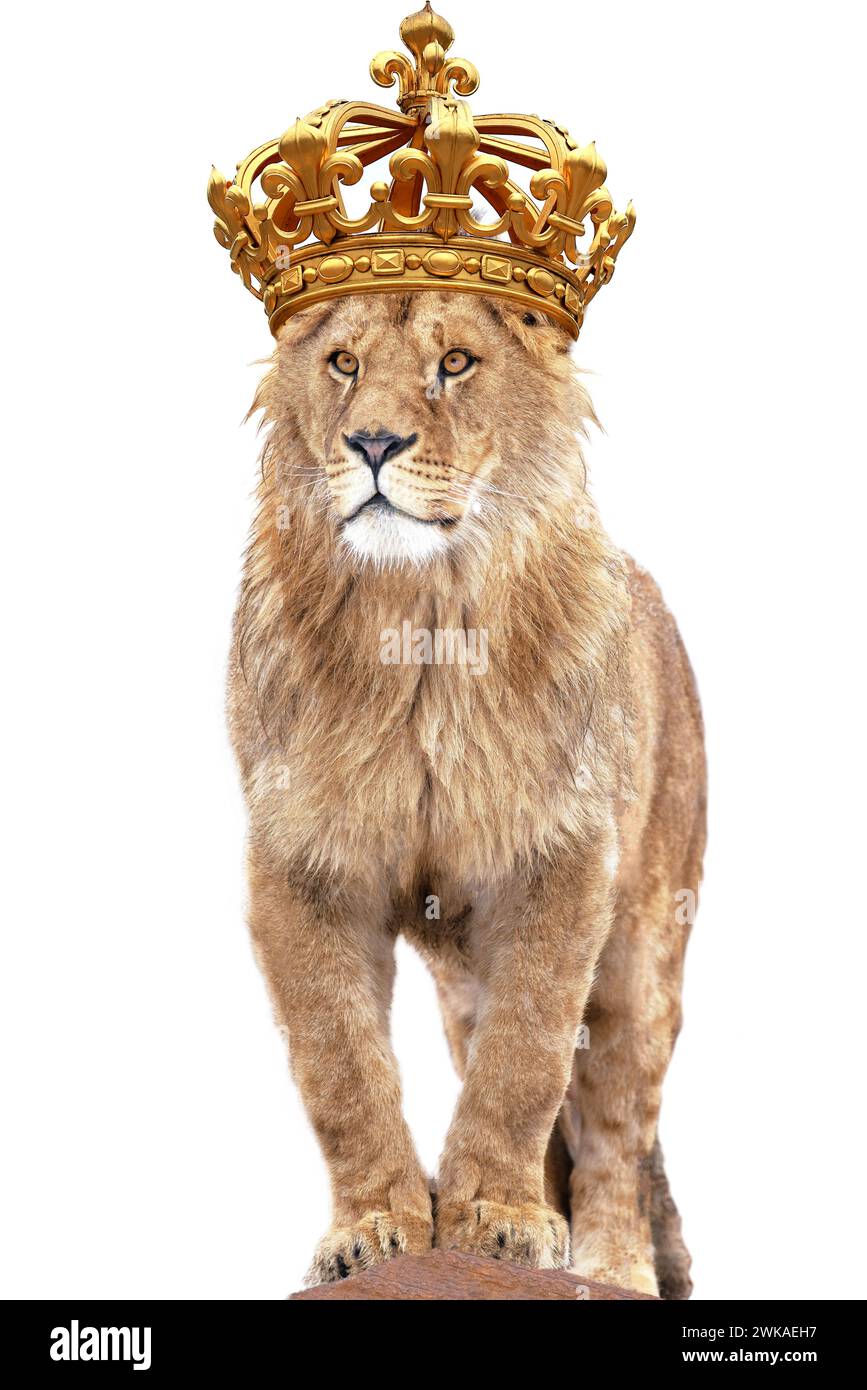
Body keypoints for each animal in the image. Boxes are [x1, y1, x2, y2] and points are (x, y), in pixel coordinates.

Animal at [228, 288, 706, 1297]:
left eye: (454, 362)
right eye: (342, 363)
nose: (372, 441)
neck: (421, 621)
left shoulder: (561, 860)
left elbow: (525, 1061)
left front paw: (495, 1220)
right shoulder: (300, 865)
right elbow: (340, 1067)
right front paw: (376, 1230)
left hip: (647, 942)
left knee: (617, 1127)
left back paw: (610, 1265)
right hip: (457, 983)